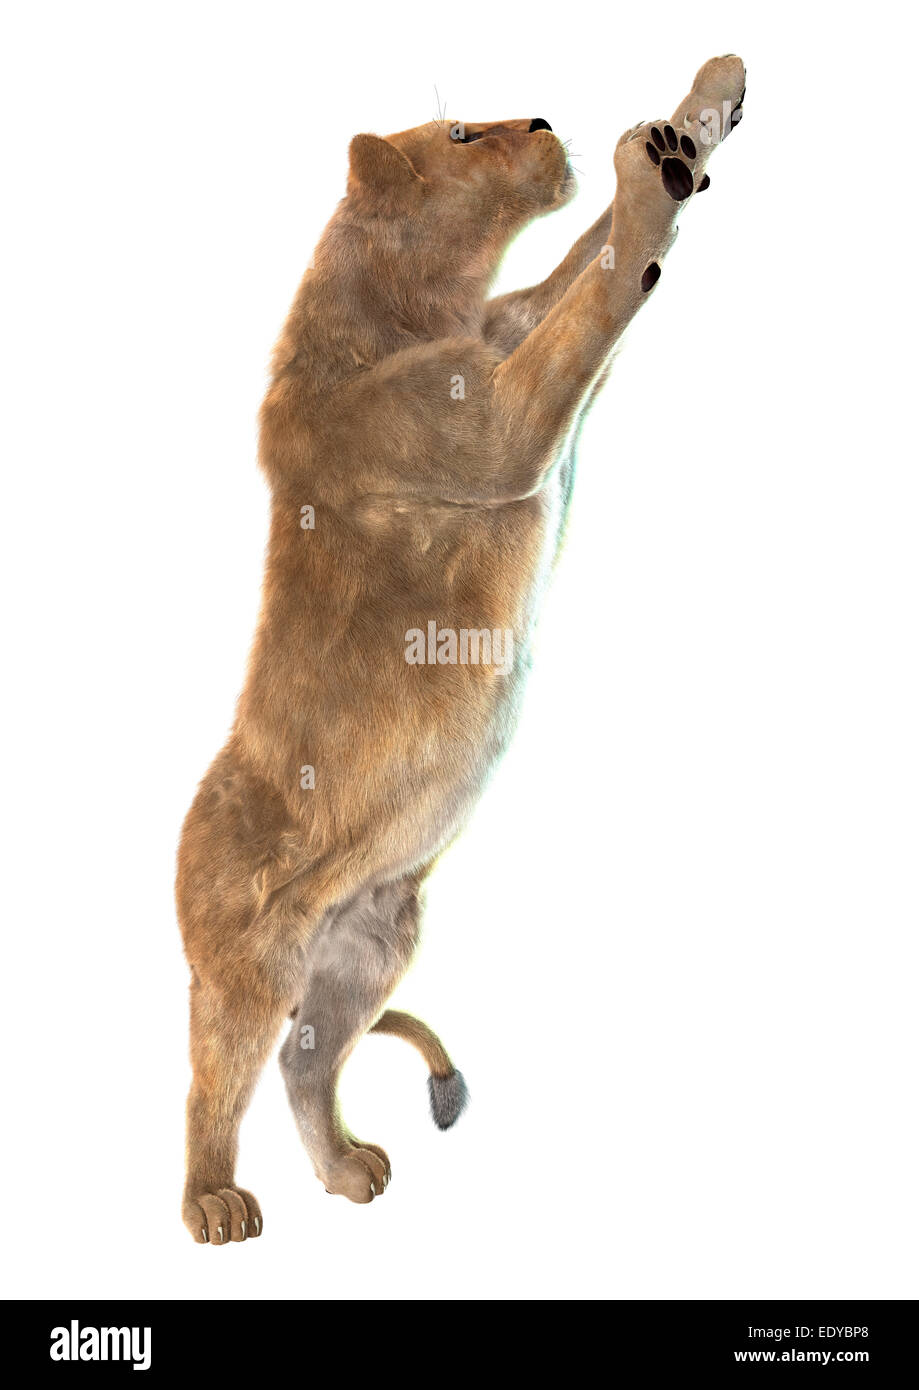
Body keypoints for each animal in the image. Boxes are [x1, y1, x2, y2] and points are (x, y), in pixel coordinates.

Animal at [177, 54, 746, 1242]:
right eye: (458, 133)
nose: (539, 118)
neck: (420, 308)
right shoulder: (492, 431)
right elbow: (602, 285)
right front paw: (656, 172)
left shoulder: (510, 335)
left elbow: (582, 273)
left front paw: (698, 109)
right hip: (248, 970)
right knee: (214, 1083)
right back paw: (214, 1207)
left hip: (370, 944)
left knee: (306, 1064)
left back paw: (349, 1173)